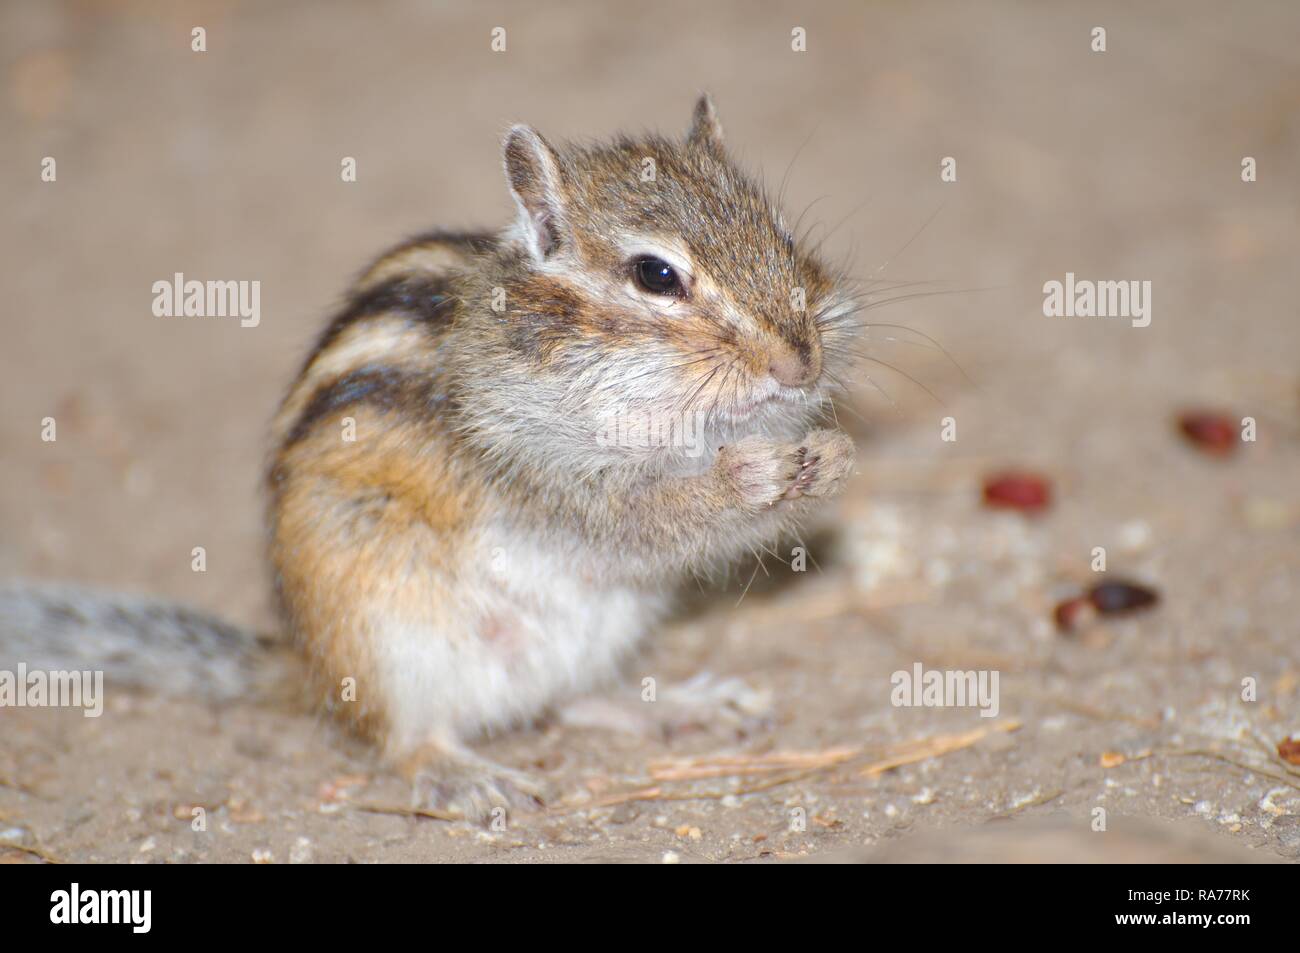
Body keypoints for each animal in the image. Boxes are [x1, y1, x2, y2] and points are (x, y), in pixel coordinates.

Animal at [1, 95, 860, 822]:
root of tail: (311, 671)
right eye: (656, 274)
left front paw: (831, 454)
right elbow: (647, 518)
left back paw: (676, 703)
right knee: (405, 739)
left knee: (572, 699)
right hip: (384, 636)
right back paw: (464, 773)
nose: (800, 362)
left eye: (780, 232)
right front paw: (753, 475)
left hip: (600, 634)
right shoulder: (538, 471)